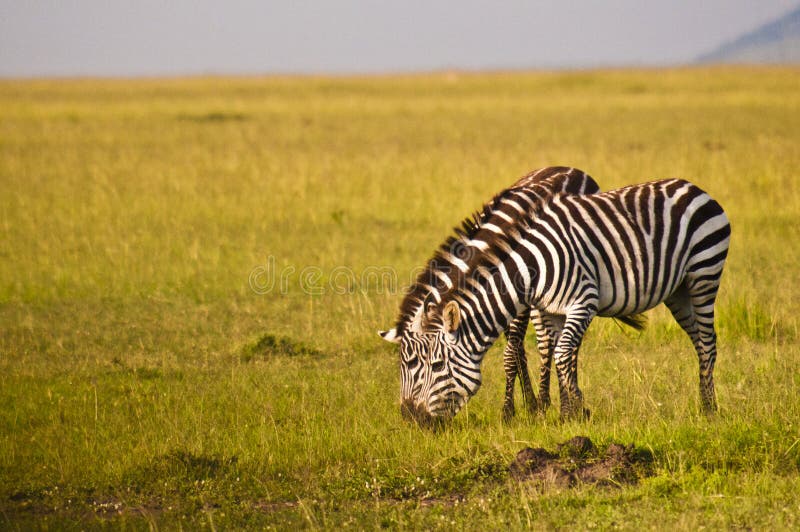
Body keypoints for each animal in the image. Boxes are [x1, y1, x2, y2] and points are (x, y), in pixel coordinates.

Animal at [380, 178, 730, 424]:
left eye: (436, 366)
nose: (412, 419)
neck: (529, 269)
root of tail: (693, 187)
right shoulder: (552, 310)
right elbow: (560, 354)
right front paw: (564, 413)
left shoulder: (582, 301)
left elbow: (562, 355)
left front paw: (579, 411)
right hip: (679, 291)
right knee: (699, 341)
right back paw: (703, 400)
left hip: (703, 274)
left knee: (709, 341)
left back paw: (710, 409)